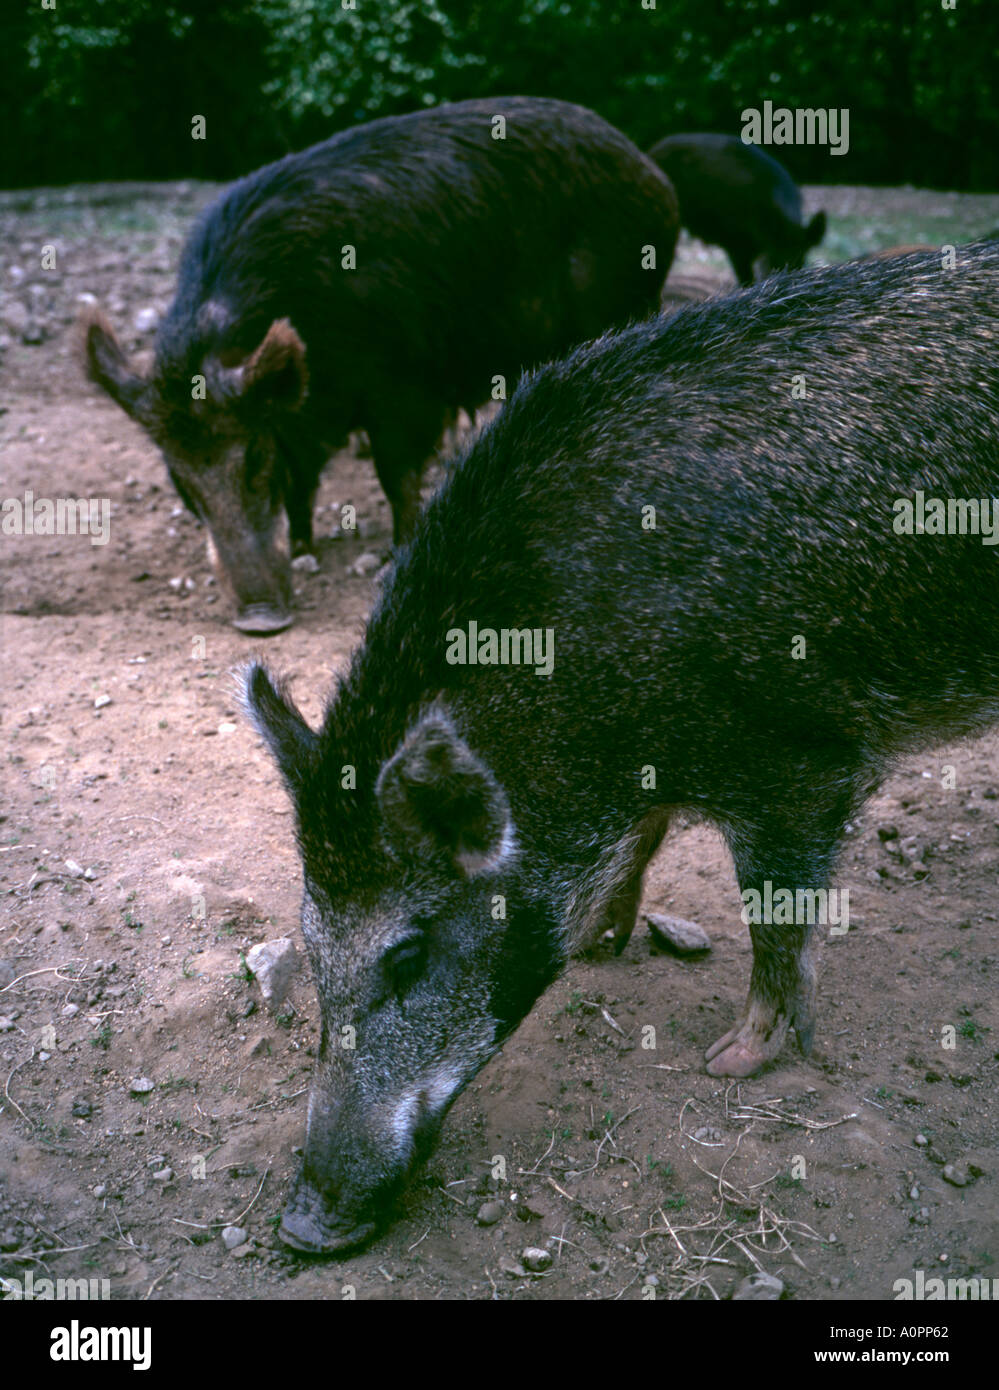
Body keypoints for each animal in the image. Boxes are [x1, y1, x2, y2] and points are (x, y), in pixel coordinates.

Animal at [82, 96, 679, 633]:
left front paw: (394, 556)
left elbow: (395, 474)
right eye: (179, 478)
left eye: (253, 458)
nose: (259, 619)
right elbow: (305, 483)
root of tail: (655, 181)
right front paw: (305, 546)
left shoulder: (402, 387)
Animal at [243, 241, 999, 1253]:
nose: (301, 1228)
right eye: (309, 945)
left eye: (406, 956)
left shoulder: (802, 760)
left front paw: (732, 1061)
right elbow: (646, 847)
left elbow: (775, 911)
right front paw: (604, 944)